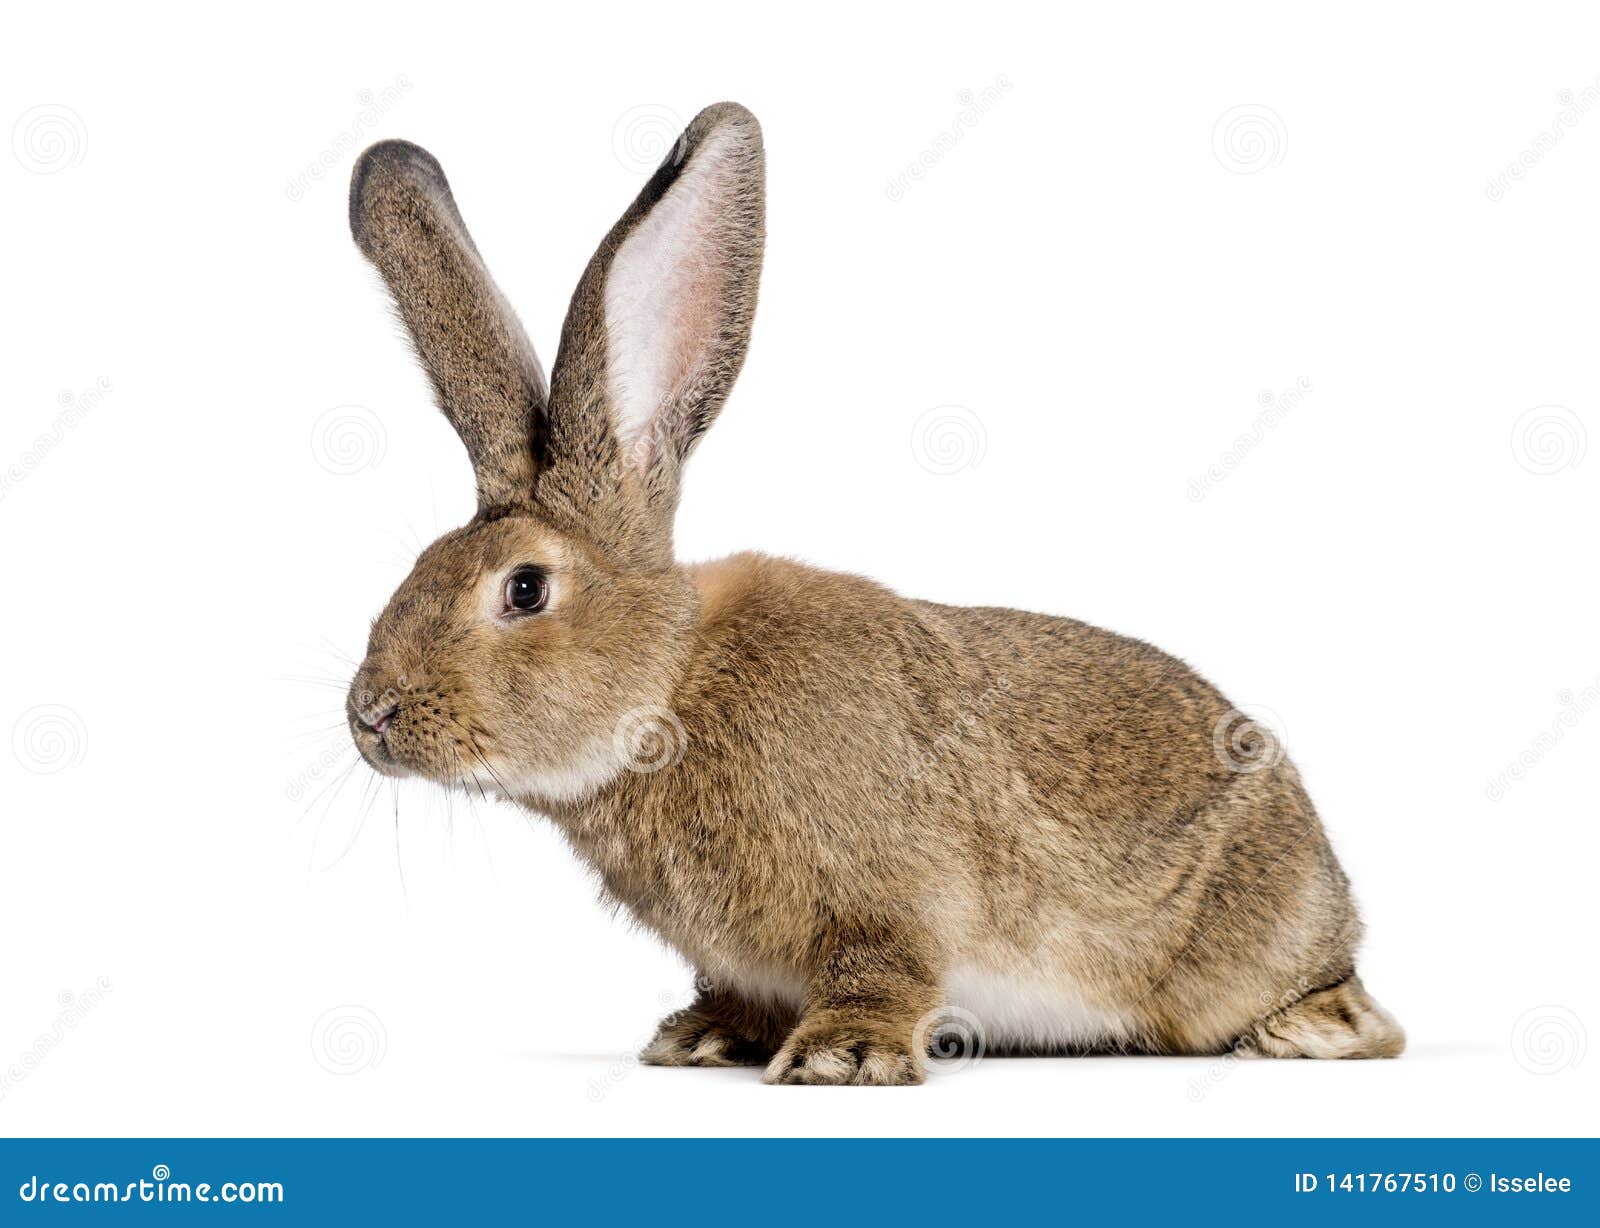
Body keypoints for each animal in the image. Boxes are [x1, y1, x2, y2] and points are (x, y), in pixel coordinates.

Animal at [343, 101, 1403, 1084]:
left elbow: (882, 970)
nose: (371, 715)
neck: (671, 686)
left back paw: (1306, 1030)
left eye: (524, 589)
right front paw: (701, 1038)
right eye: (418, 568)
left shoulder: (893, 902)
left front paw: (839, 1058)